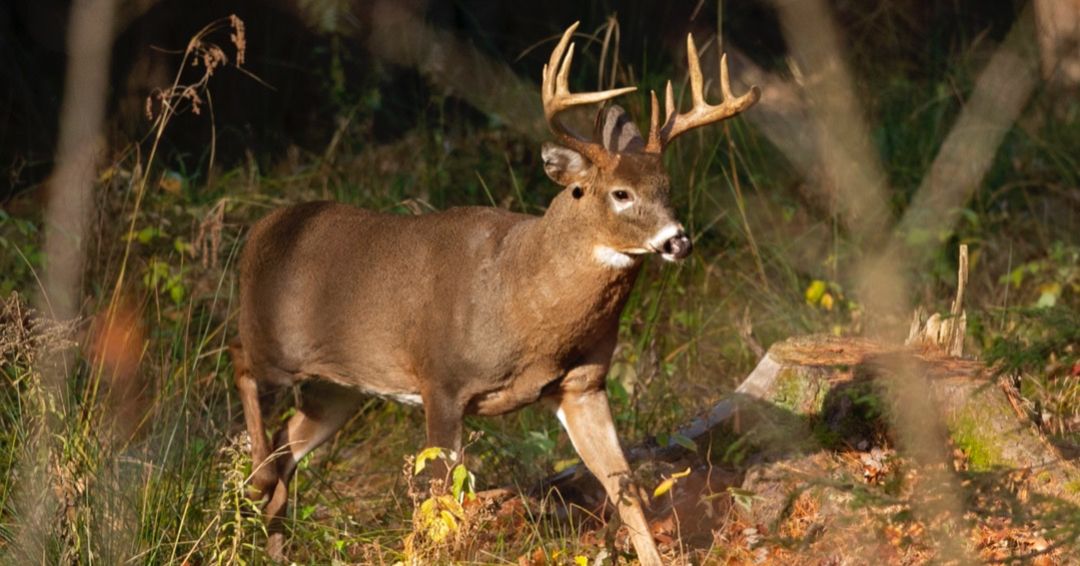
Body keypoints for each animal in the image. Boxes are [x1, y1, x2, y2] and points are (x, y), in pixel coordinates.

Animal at [230, 21, 760, 561]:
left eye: (667, 187)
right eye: (621, 193)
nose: (679, 241)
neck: (523, 300)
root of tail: (259, 232)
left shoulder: (582, 384)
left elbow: (623, 483)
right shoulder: (441, 379)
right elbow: (439, 500)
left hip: (338, 387)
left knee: (289, 439)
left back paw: (273, 539)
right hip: (273, 342)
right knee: (241, 365)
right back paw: (256, 481)